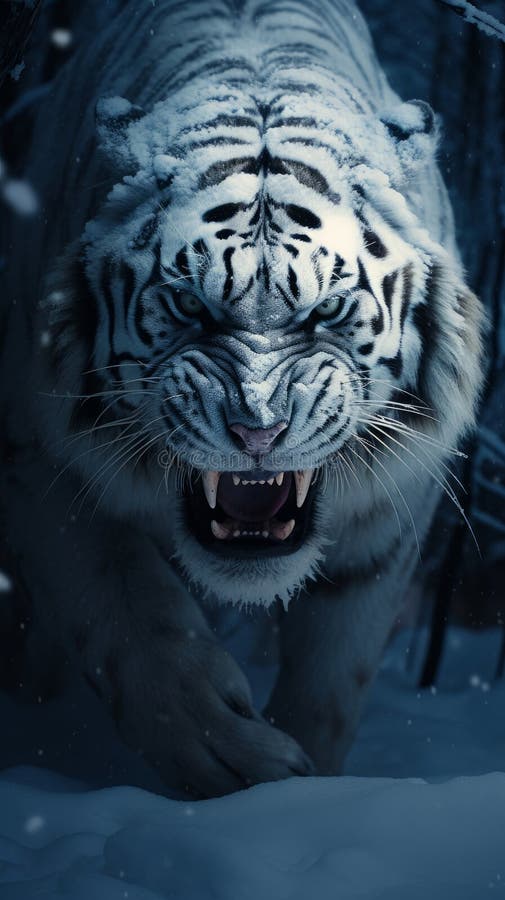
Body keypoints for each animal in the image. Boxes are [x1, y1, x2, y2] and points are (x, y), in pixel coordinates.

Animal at [0, 0, 484, 797]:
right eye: (190, 306)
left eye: (325, 311)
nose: (257, 431)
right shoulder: (33, 456)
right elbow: (125, 610)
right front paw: (231, 756)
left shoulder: (390, 518)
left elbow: (332, 684)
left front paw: (300, 789)